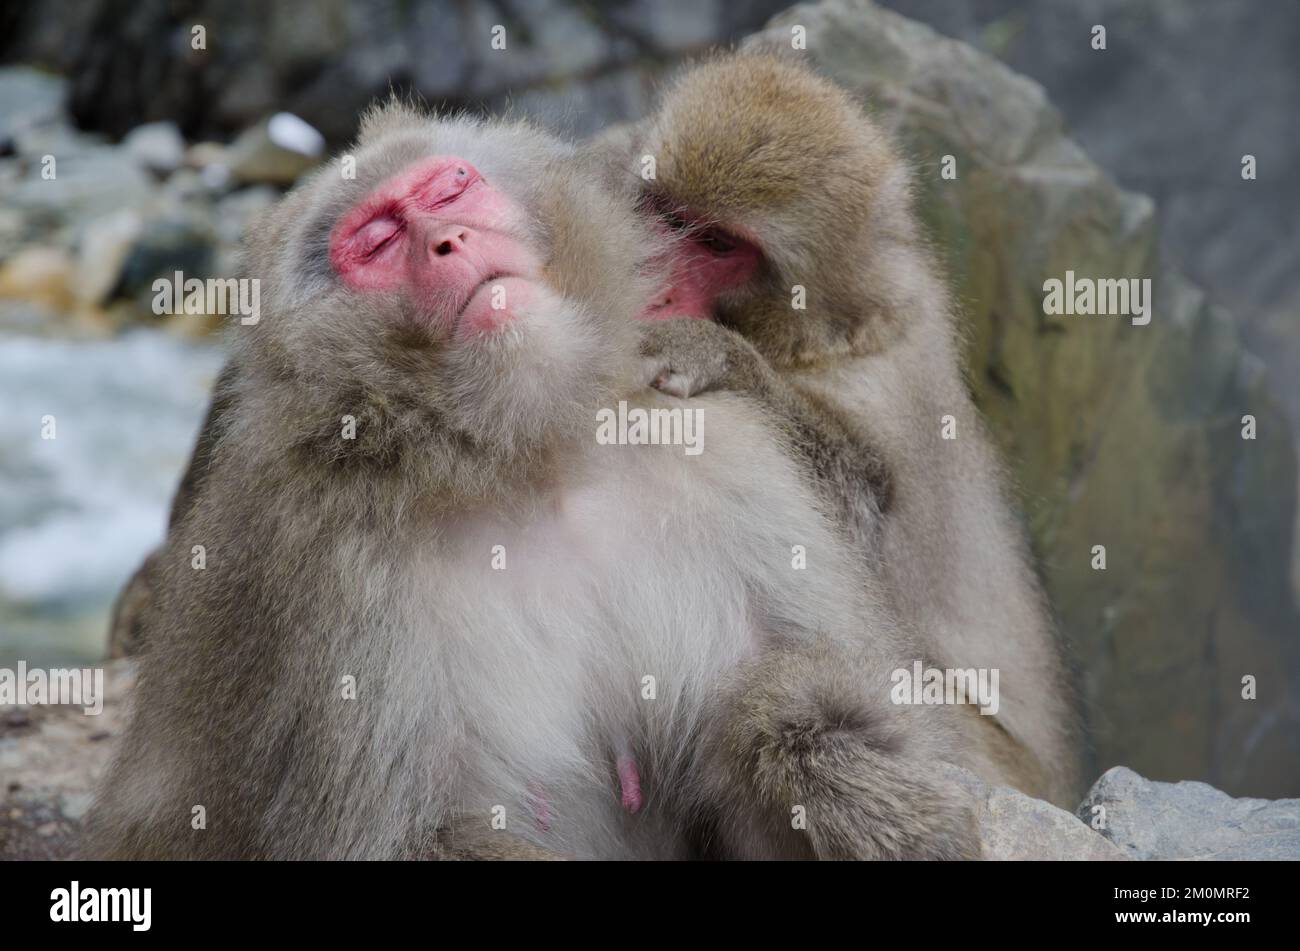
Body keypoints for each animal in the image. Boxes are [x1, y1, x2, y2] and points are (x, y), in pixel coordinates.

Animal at [86, 101, 979, 860]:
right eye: (375, 240)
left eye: (449, 188)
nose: (448, 239)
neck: (536, 463)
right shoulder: (333, 582)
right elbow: (401, 841)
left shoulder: (733, 462)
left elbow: (853, 713)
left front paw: (802, 735)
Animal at [594, 52, 1081, 807]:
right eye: (667, 214)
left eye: (716, 243)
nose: (656, 282)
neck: (824, 329)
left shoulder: (890, 380)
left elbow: (849, 517)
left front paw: (720, 357)